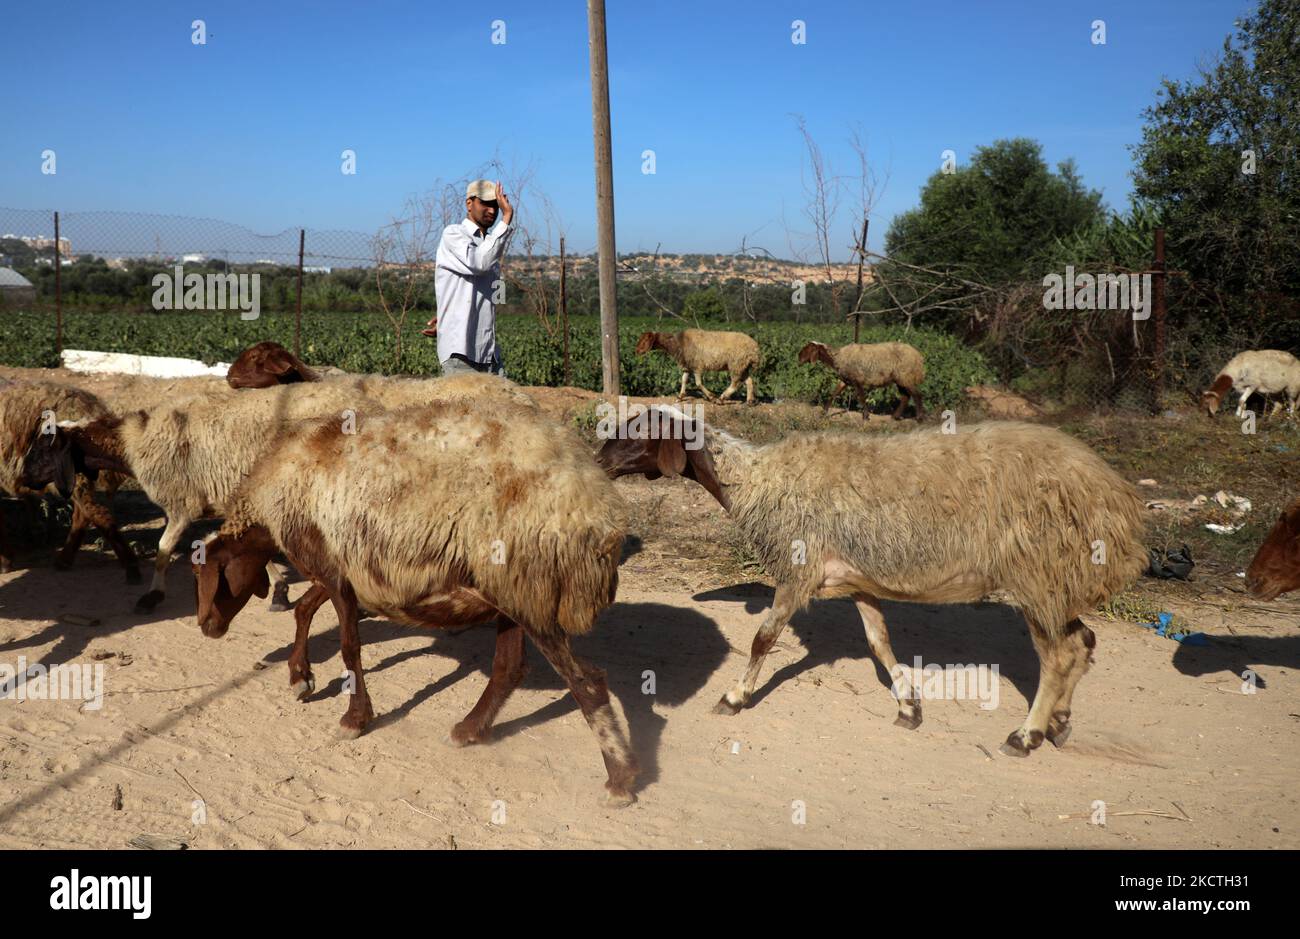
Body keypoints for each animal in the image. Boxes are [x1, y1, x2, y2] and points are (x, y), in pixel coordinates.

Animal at [1, 380, 139, 581]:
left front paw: (5, 561)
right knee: (84, 514)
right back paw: (64, 560)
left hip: (72, 476)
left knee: (96, 512)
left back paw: (130, 565)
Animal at [191, 400, 638, 803]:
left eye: (208, 575)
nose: (206, 627)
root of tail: (599, 506)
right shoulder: (343, 571)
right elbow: (305, 610)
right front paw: (301, 676)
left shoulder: (334, 569)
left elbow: (349, 647)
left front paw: (354, 719)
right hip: (511, 590)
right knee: (510, 667)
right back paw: (469, 731)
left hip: (529, 589)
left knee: (586, 681)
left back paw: (619, 780)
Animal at [596, 408, 1147, 757]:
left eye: (639, 432)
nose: (597, 460)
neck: (756, 481)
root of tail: (1117, 500)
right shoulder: (857, 579)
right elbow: (879, 643)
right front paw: (908, 704)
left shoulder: (798, 568)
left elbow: (762, 638)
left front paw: (735, 696)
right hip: (1056, 583)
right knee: (1082, 642)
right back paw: (1059, 722)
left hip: (1039, 574)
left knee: (1058, 656)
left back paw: (1026, 734)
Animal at [798, 340, 926, 420]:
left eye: (808, 349)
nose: (798, 358)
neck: (837, 358)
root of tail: (918, 356)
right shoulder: (845, 380)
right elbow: (833, 394)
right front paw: (823, 413)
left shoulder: (857, 380)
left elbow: (862, 398)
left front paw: (865, 416)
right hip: (900, 379)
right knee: (906, 397)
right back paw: (895, 416)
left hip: (905, 375)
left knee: (917, 395)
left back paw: (919, 417)